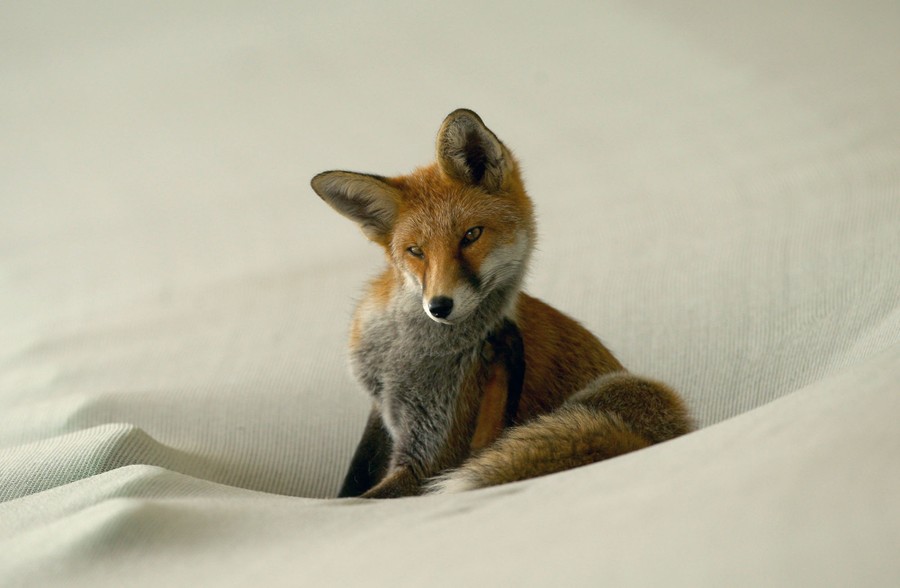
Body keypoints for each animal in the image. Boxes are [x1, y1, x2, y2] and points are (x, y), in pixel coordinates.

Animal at [311, 109, 691, 499]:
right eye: (415, 251)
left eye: (471, 236)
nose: (439, 306)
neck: (404, 352)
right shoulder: (380, 408)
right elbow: (351, 485)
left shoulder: (429, 456)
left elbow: (365, 500)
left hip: (622, 390)